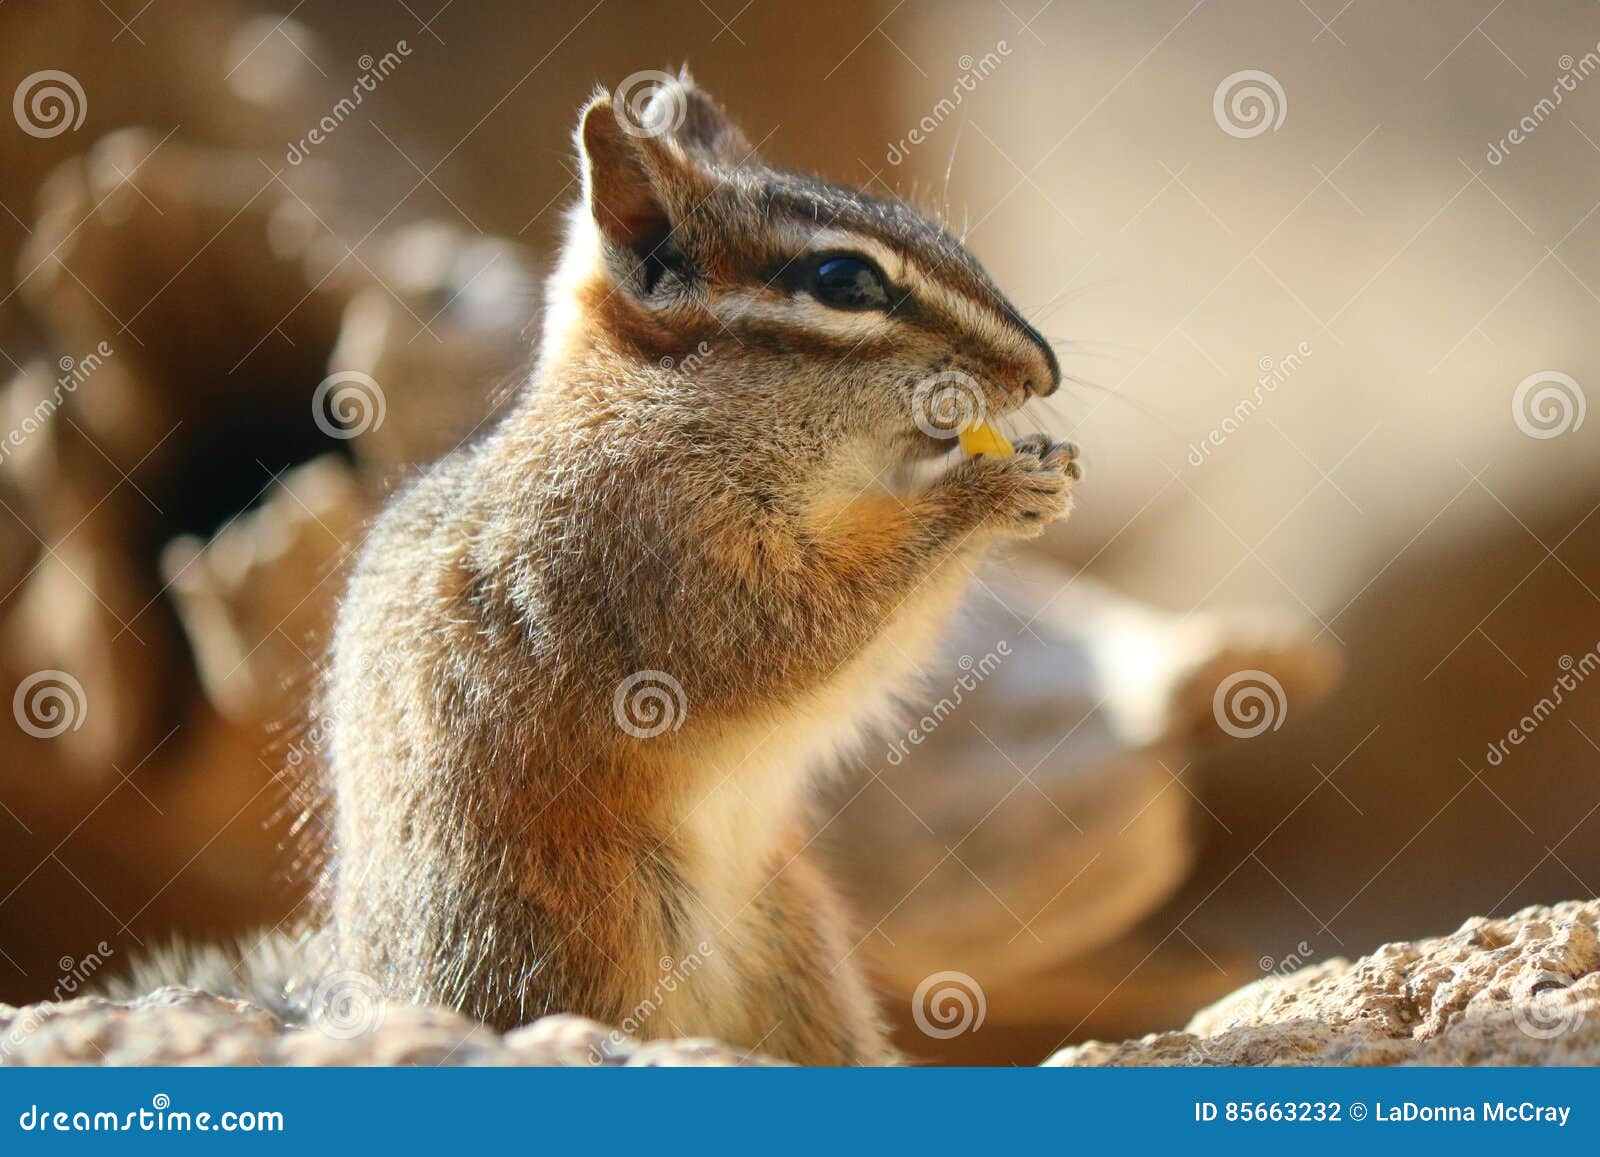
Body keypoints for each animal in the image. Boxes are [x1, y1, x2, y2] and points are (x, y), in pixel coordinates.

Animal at [120, 74, 1079, 1067]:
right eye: (843, 282)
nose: (1041, 368)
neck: (664, 399)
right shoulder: (653, 547)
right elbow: (795, 631)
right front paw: (986, 489)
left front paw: (1039, 468)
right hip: (570, 932)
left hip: (799, 948)